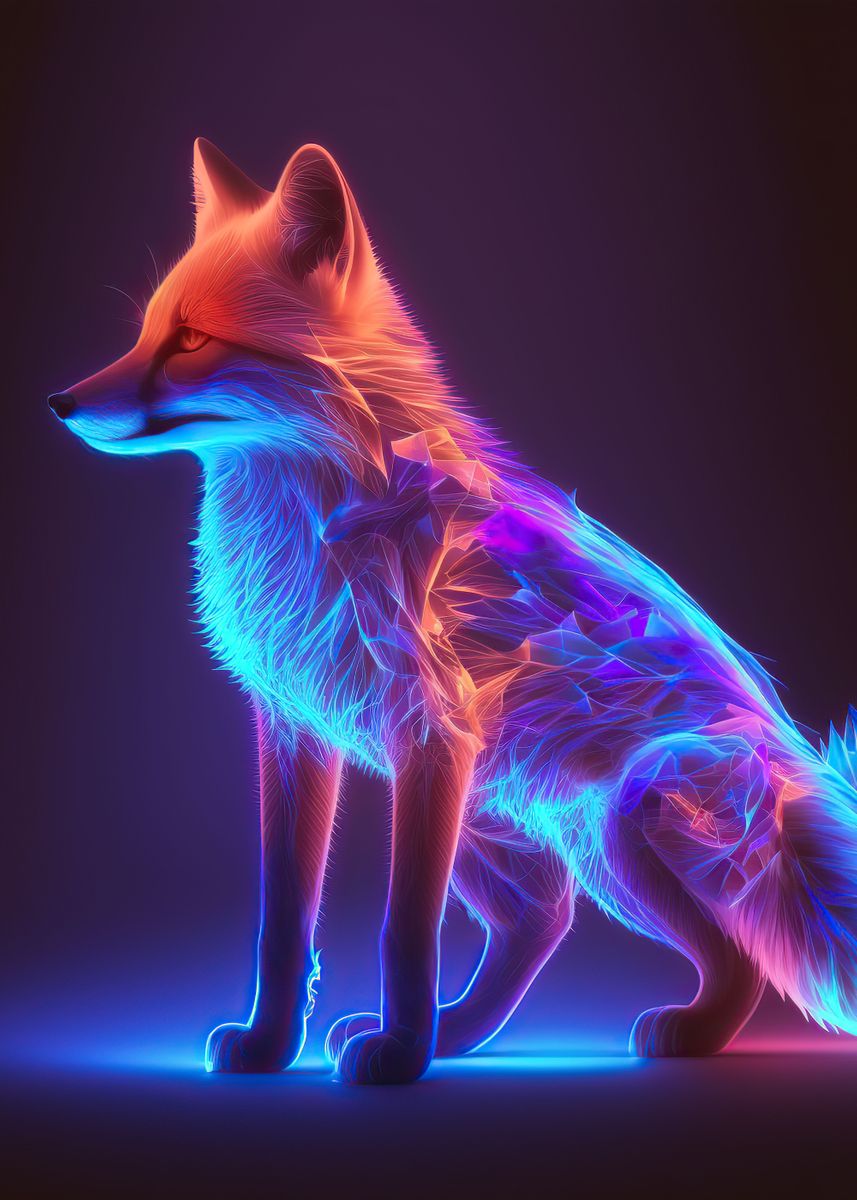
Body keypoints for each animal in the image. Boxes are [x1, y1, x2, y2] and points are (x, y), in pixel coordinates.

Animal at [50, 139, 857, 1083]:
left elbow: (404, 929)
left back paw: (676, 1034)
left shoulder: (431, 734)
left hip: (617, 821)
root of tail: (789, 753)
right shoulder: (296, 730)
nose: (60, 403)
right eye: (145, 331)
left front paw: (399, 1060)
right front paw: (273, 1046)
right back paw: (455, 1032)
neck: (316, 526)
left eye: (190, 340)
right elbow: (282, 926)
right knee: (541, 920)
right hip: (516, 826)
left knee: (736, 957)